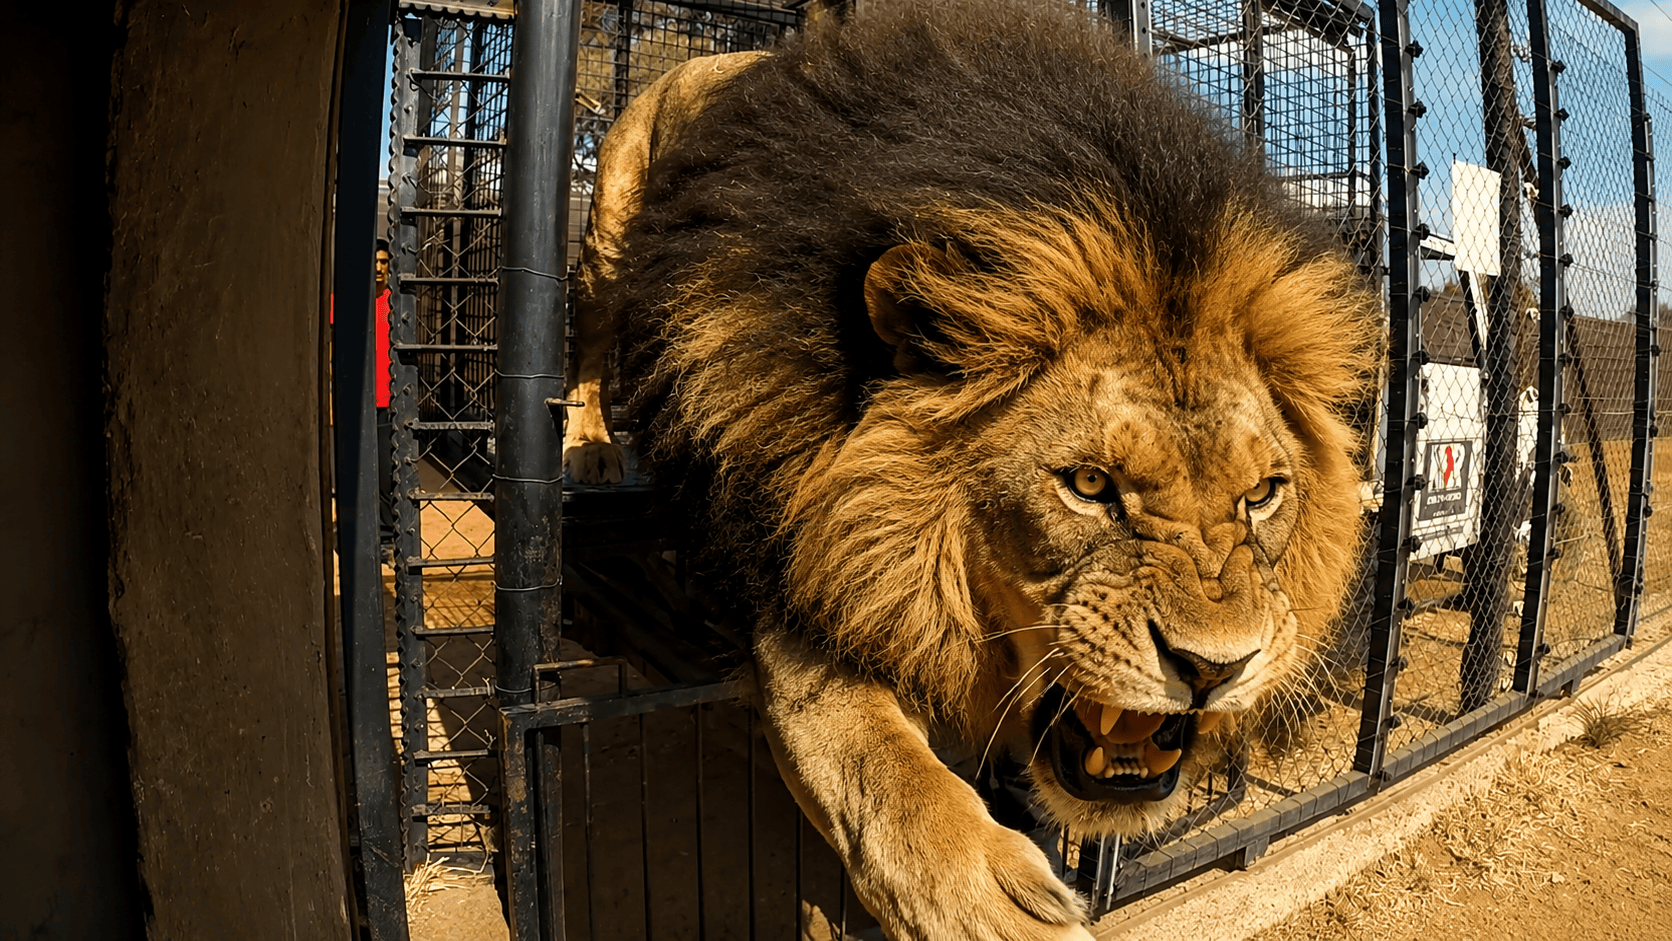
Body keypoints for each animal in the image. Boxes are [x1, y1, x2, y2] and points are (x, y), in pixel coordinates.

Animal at [560, 2, 1382, 938]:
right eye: (1089, 486)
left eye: (1262, 495)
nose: (1216, 669)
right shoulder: (777, 540)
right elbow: (852, 735)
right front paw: (982, 895)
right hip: (610, 225)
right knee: (586, 333)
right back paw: (588, 445)